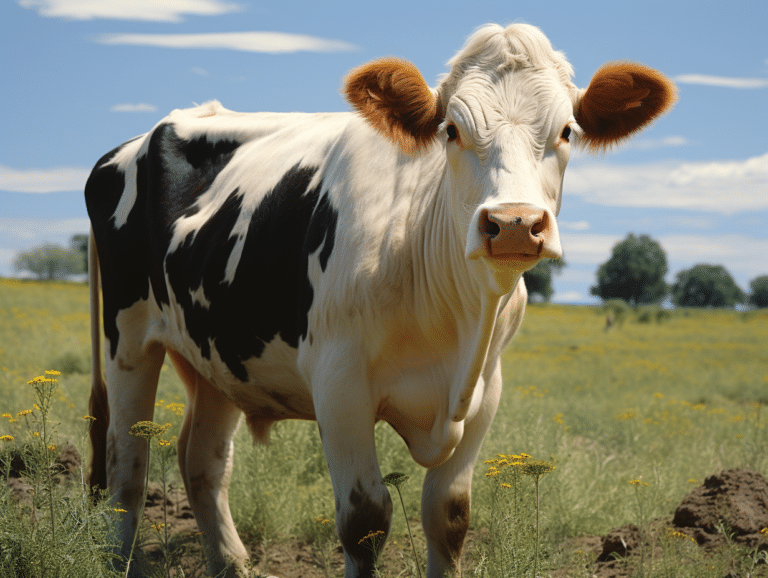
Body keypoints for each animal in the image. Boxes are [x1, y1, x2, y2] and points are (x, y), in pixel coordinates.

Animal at [86, 23, 676, 578]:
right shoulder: (339, 386)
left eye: (566, 131)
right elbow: (364, 520)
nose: (513, 224)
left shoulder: (487, 392)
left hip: (217, 356)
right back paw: (121, 561)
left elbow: (449, 515)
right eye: (451, 130)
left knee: (202, 463)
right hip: (128, 339)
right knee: (126, 464)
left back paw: (232, 564)